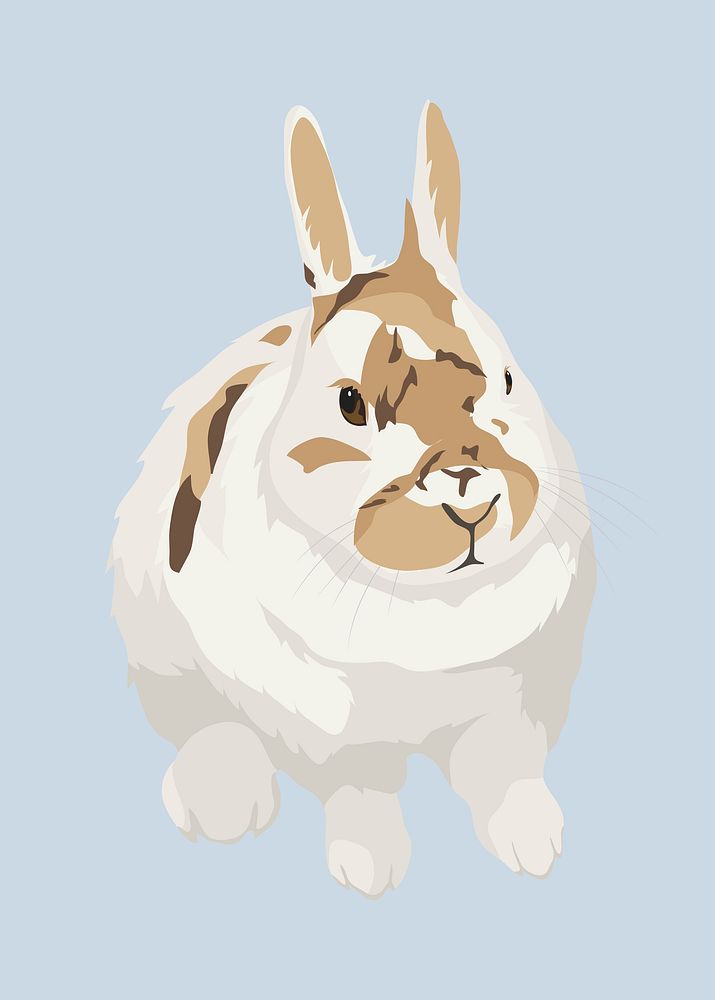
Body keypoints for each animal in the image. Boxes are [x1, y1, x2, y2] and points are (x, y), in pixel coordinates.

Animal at [111, 101, 595, 896]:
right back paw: (222, 804)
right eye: (349, 404)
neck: (432, 607)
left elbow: (503, 767)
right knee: (194, 719)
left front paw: (532, 845)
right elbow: (360, 787)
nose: (468, 490)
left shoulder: (521, 698)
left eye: (507, 379)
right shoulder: (329, 731)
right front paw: (371, 867)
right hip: (155, 636)